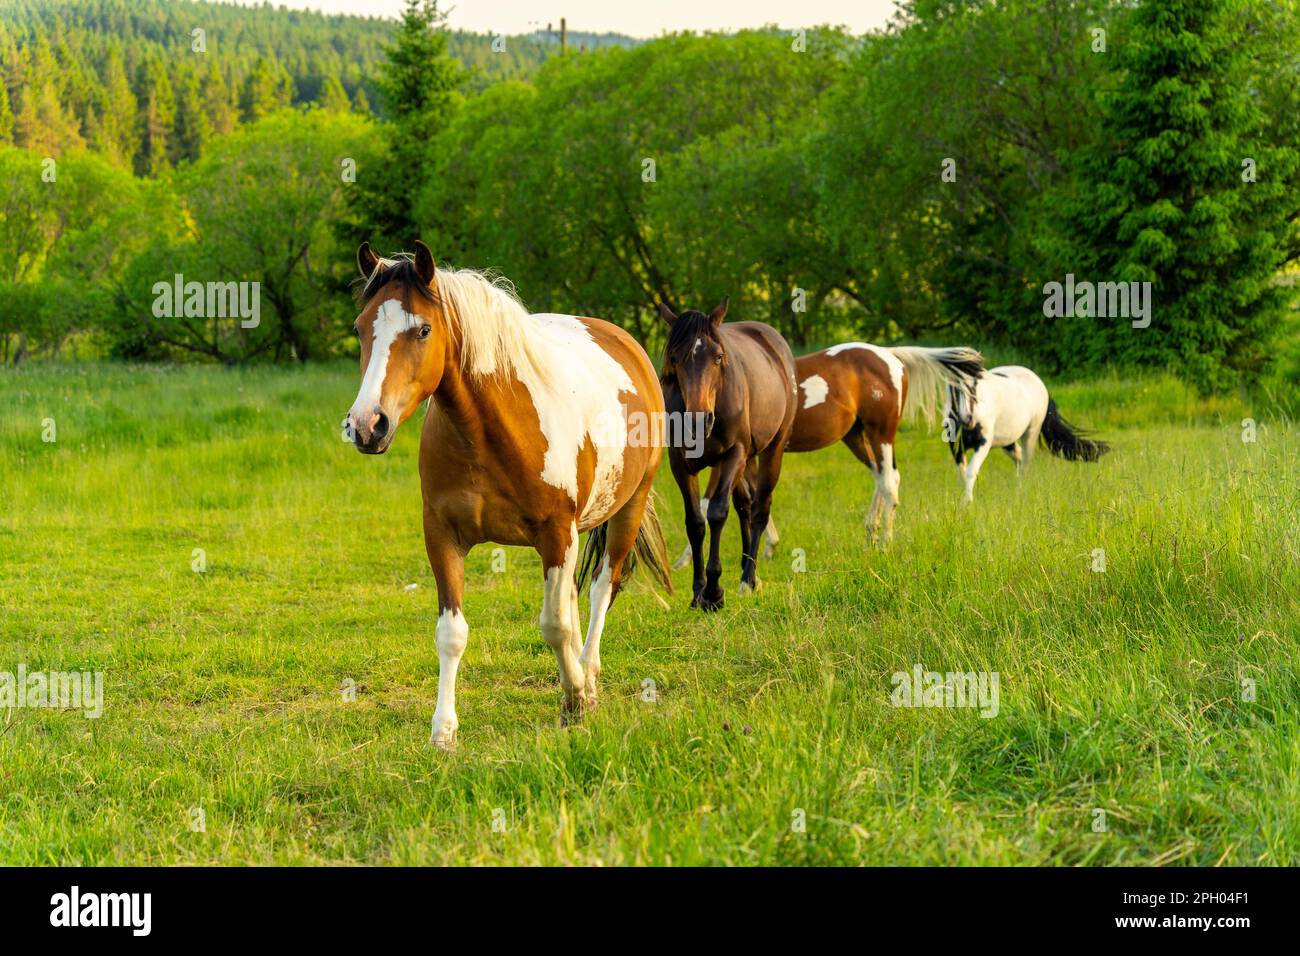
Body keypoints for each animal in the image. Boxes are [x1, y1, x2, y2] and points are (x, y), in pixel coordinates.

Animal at [343, 240, 672, 749]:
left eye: (423, 329)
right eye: (361, 329)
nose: (366, 424)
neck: (487, 433)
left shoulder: (556, 534)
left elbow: (554, 625)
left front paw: (575, 701)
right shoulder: (442, 536)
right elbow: (451, 633)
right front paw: (443, 731)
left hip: (627, 509)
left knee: (602, 589)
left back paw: (588, 675)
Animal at [659, 298, 797, 611]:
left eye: (718, 357)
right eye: (675, 358)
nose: (699, 420)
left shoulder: (733, 455)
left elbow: (717, 513)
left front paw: (714, 592)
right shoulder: (679, 464)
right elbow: (696, 522)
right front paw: (698, 591)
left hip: (771, 450)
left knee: (759, 508)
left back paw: (747, 579)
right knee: (745, 504)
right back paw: (750, 573)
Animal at [672, 342, 985, 567]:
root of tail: (891, 357)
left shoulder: (727, 458)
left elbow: (707, 502)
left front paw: (685, 560)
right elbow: (752, 495)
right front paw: (768, 547)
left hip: (880, 433)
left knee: (888, 482)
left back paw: (885, 544)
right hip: (856, 436)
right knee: (882, 476)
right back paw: (871, 533)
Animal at [944, 365, 1110, 503]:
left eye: (974, 389)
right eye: (955, 390)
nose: (967, 420)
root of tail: (1040, 383)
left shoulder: (983, 444)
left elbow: (971, 471)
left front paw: (967, 505)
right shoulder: (956, 448)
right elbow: (962, 474)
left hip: (1031, 433)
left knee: (1025, 464)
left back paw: (1020, 493)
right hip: (1008, 441)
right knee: (1019, 459)